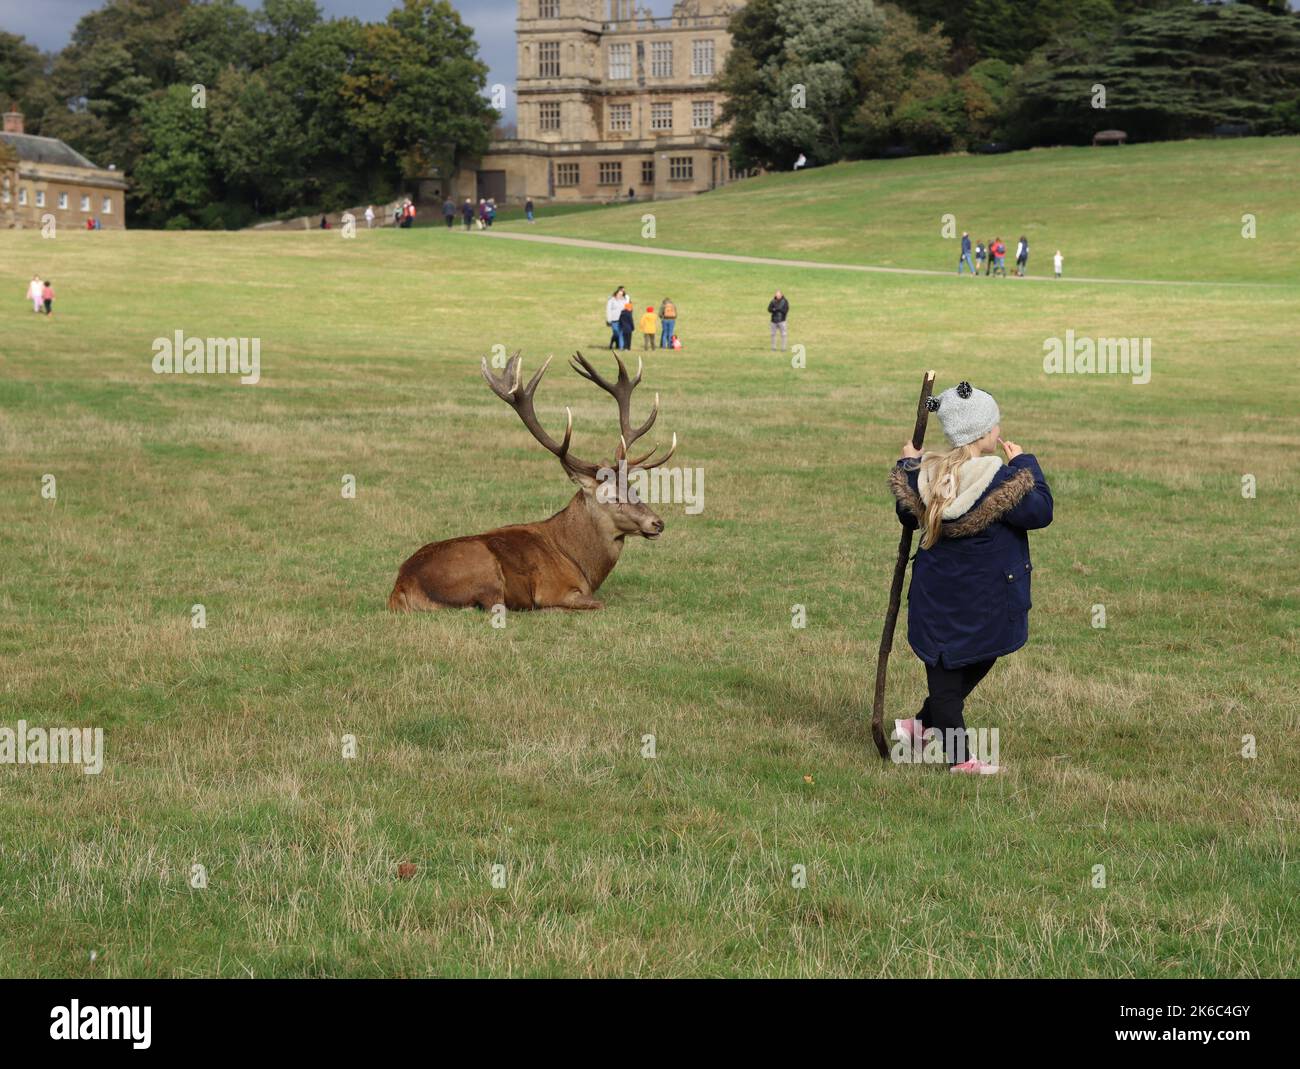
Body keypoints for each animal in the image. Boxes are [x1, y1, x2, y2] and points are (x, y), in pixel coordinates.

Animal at [387, 351, 677, 612]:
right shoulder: (554, 589)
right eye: (613, 496)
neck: (581, 563)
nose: (657, 523)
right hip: (483, 568)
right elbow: (598, 603)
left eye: (634, 489)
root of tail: (400, 587)